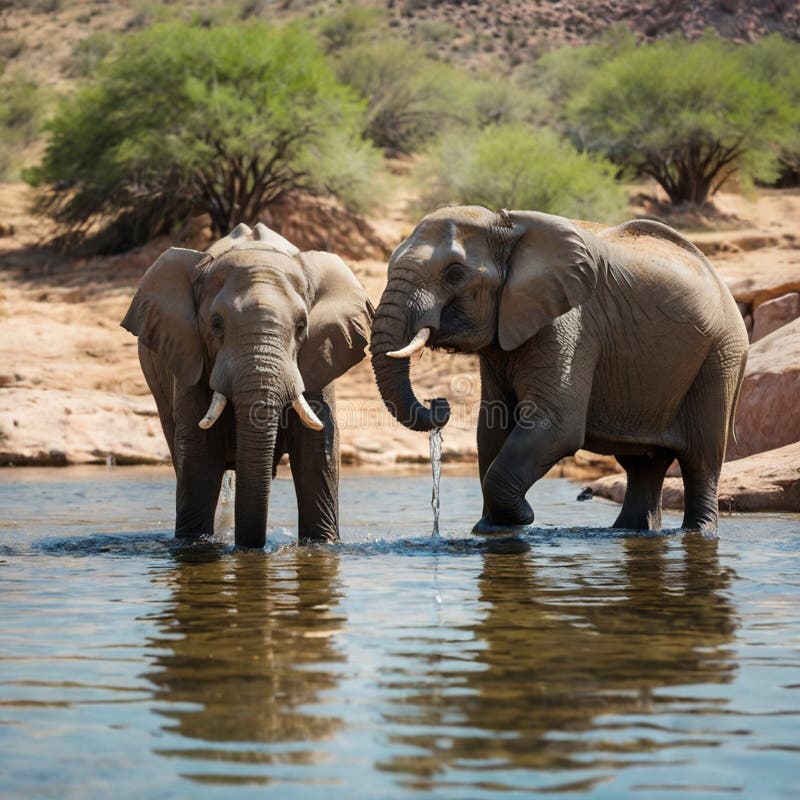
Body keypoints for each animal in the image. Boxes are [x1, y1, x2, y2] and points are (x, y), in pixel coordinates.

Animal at [122, 222, 373, 548]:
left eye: (301, 327)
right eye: (216, 324)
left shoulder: (320, 355)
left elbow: (317, 449)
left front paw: (322, 544)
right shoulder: (190, 355)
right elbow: (199, 451)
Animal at [370, 206, 749, 536]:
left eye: (454, 273)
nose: (439, 403)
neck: (505, 227)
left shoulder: (570, 320)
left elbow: (556, 424)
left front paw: (522, 518)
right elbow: (492, 428)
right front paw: (492, 529)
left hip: (722, 354)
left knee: (701, 460)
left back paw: (697, 533)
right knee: (643, 464)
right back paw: (630, 531)